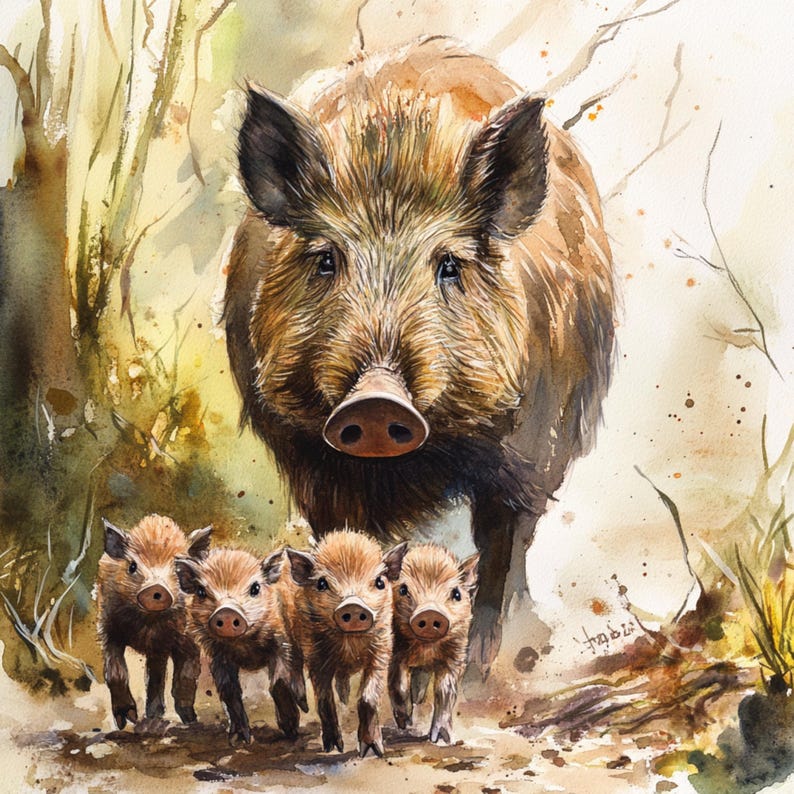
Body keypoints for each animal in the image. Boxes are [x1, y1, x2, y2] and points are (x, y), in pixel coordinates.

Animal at [96, 514, 212, 729]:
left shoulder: (188, 639)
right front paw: (126, 721)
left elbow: (186, 674)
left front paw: (190, 719)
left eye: (177, 569)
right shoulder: (108, 628)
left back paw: (155, 717)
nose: (156, 589)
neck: (150, 624)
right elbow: (115, 672)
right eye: (132, 566)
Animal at [174, 546, 308, 744]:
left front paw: (291, 730)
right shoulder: (218, 657)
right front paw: (239, 739)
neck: (244, 646)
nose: (227, 612)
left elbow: (278, 683)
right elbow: (229, 691)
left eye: (255, 588)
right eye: (201, 591)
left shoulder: (282, 643)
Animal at [224, 35, 615, 671]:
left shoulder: (529, 450)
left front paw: (480, 665)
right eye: (327, 258)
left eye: (449, 264)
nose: (376, 403)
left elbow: (500, 552)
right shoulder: (312, 464)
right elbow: (349, 551)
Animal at [285, 530, 407, 757]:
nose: (353, 605)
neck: (349, 644)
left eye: (380, 582)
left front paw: (372, 752)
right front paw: (333, 748)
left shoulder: (382, 648)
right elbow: (324, 700)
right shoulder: (315, 653)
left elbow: (368, 698)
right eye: (322, 583)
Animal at [388, 545, 479, 744]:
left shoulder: (455, 656)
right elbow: (399, 684)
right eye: (403, 590)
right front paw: (404, 723)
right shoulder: (394, 653)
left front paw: (443, 740)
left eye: (456, 594)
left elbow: (445, 692)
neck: (425, 649)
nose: (430, 612)